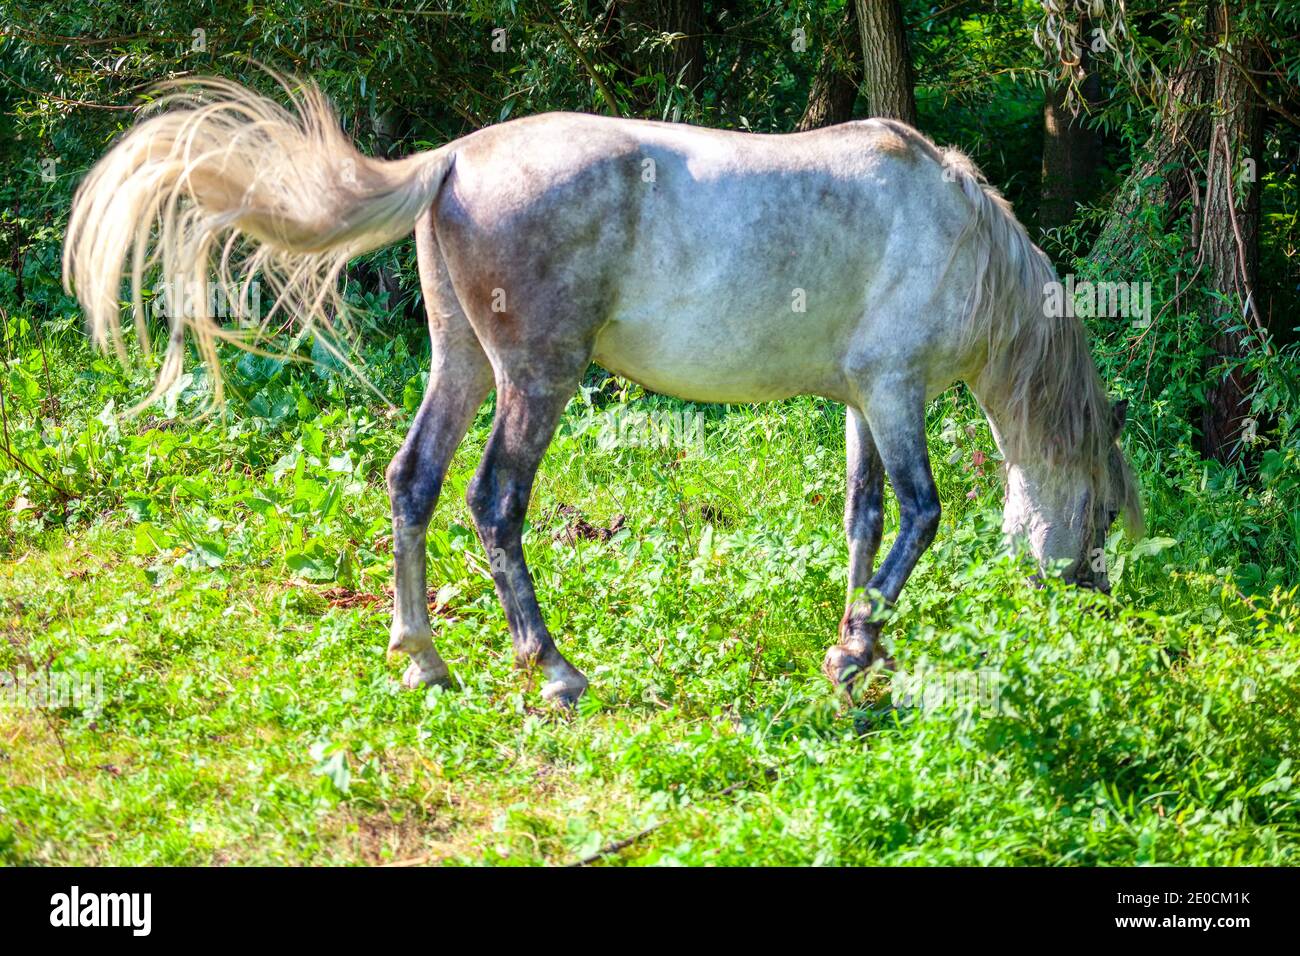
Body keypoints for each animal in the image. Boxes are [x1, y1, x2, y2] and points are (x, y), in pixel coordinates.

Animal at [63, 75, 1142, 706]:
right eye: (1101, 508)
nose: (1094, 591)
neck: (957, 235)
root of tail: (452, 160)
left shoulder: (862, 401)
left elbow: (864, 517)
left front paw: (856, 648)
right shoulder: (894, 392)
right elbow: (920, 514)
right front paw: (855, 650)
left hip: (462, 365)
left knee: (413, 483)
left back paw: (426, 659)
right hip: (537, 380)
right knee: (493, 503)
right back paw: (553, 670)